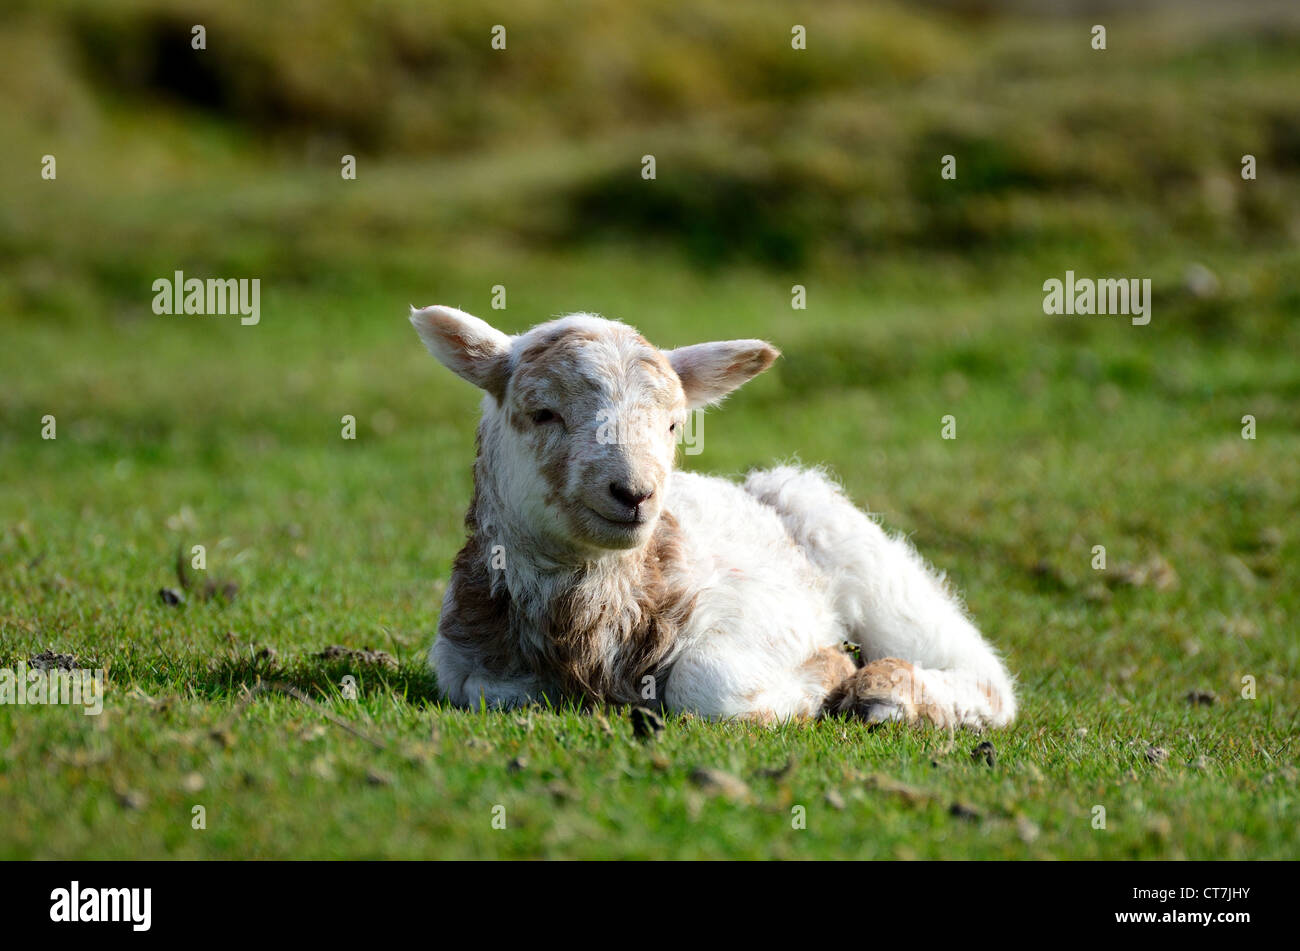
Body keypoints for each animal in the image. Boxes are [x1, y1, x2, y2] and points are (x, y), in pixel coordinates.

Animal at [409, 305, 1017, 728]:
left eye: (674, 424)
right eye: (543, 414)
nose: (635, 494)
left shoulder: (762, 613)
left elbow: (704, 683)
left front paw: (832, 670)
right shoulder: (469, 665)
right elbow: (491, 690)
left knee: (985, 677)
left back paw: (884, 691)